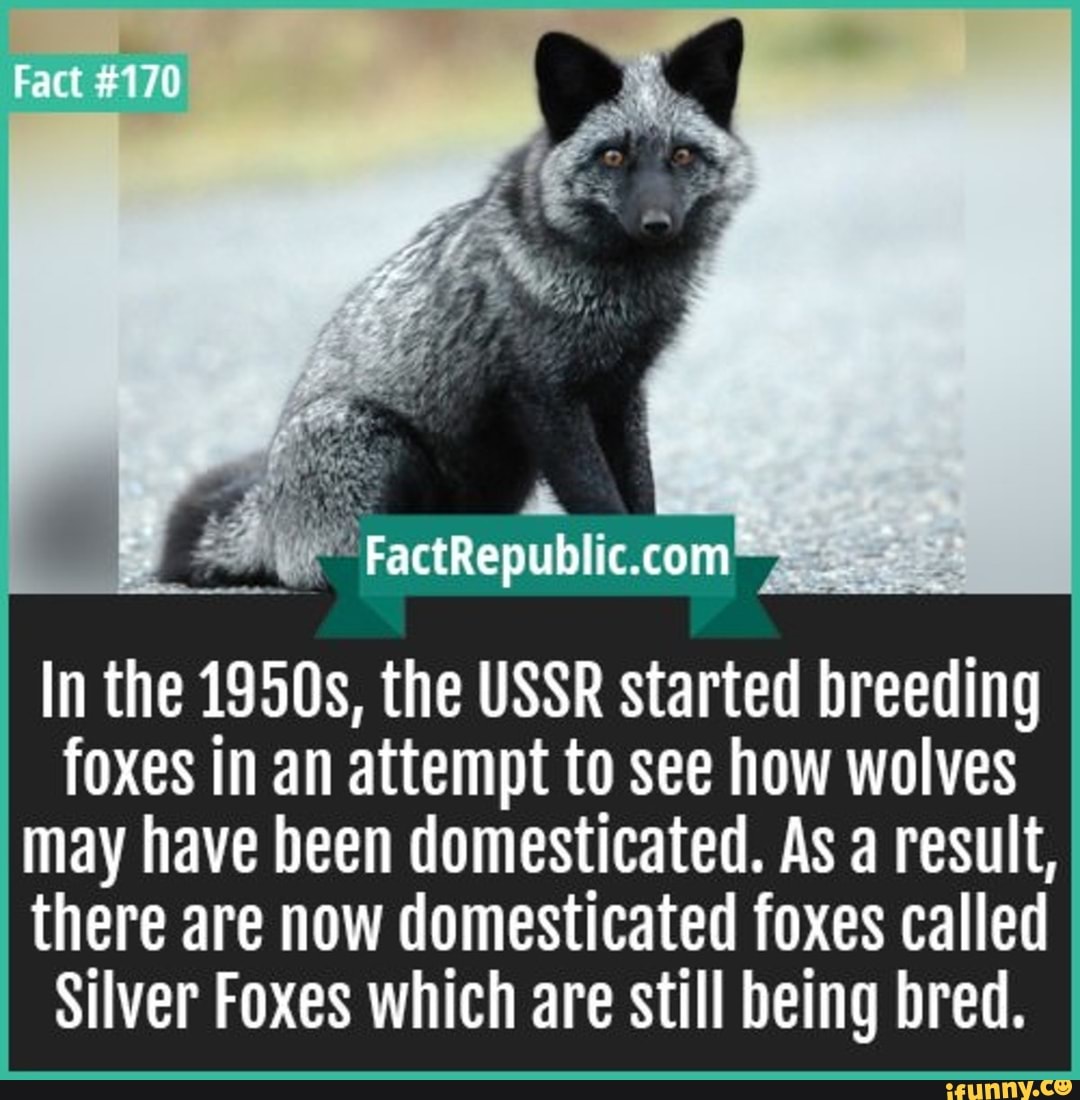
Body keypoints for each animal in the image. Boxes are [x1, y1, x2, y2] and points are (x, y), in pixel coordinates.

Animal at [160, 19, 754, 589]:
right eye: (613, 156)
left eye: (681, 154)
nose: (657, 224)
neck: (618, 293)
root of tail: (269, 516)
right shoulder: (546, 398)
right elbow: (599, 499)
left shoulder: (620, 391)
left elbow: (639, 490)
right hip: (377, 441)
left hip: (502, 475)